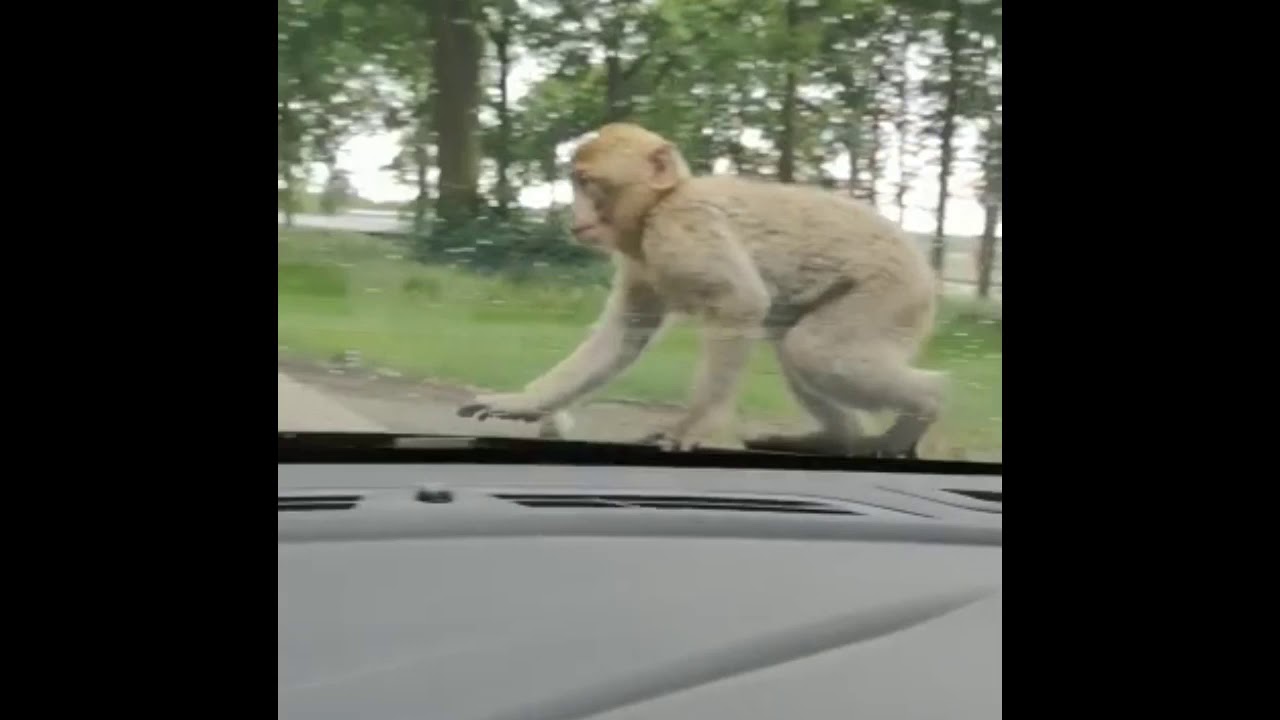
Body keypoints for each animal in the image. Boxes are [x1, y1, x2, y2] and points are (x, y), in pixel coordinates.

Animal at [458, 122, 944, 458]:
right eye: (576, 182)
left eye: (588, 183)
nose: (575, 216)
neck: (657, 207)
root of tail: (923, 267)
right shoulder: (640, 259)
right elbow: (623, 336)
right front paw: (522, 402)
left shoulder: (683, 231)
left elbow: (741, 304)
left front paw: (690, 428)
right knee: (794, 346)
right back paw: (833, 438)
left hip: (891, 291)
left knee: (814, 350)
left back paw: (923, 407)